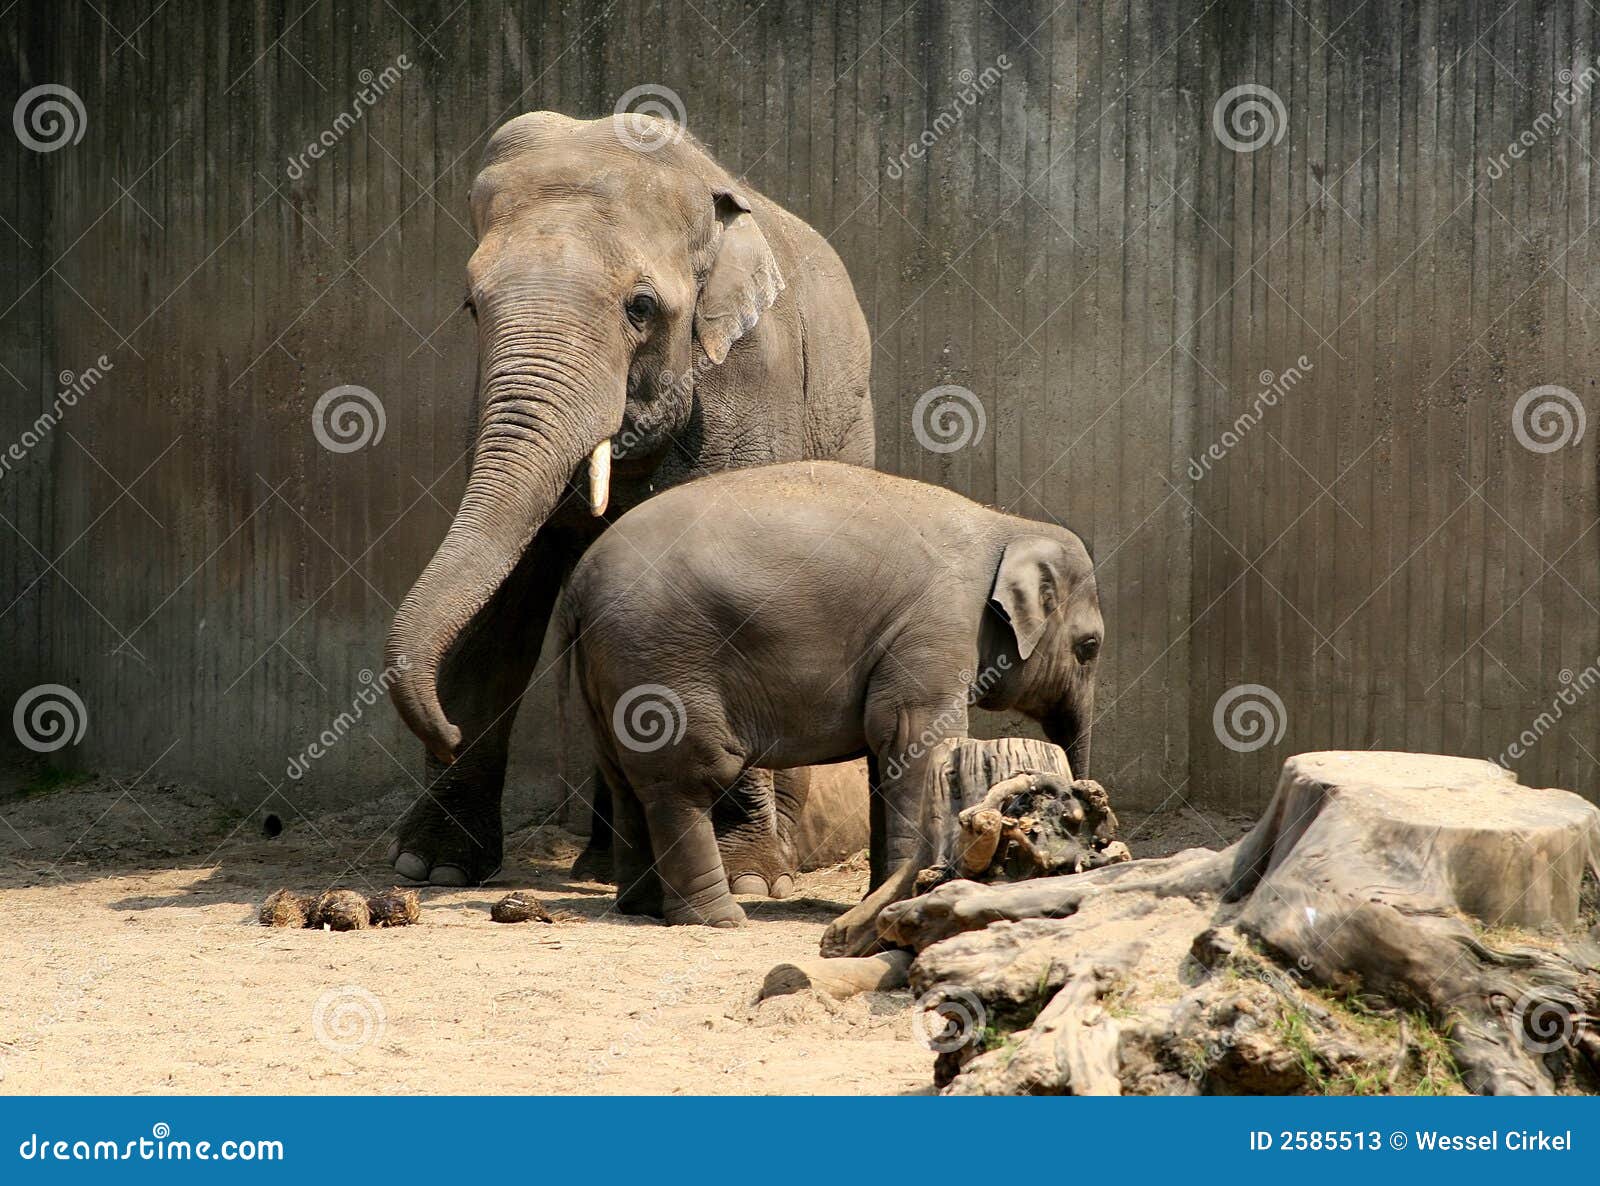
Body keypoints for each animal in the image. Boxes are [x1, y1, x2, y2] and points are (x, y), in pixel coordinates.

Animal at [383, 111, 874, 888]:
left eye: (640, 308)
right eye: (471, 307)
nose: (445, 732)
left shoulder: (751, 378)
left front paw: (747, 877)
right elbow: (500, 601)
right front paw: (431, 869)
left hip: (851, 420)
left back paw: (780, 858)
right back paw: (601, 864)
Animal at [556, 461, 1103, 950]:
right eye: (1090, 646)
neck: (1007, 524)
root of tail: (577, 582)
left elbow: (888, 756)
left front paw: (878, 898)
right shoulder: (938, 629)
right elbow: (915, 739)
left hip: (610, 672)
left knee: (625, 780)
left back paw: (641, 908)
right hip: (663, 664)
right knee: (685, 780)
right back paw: (719, 919)